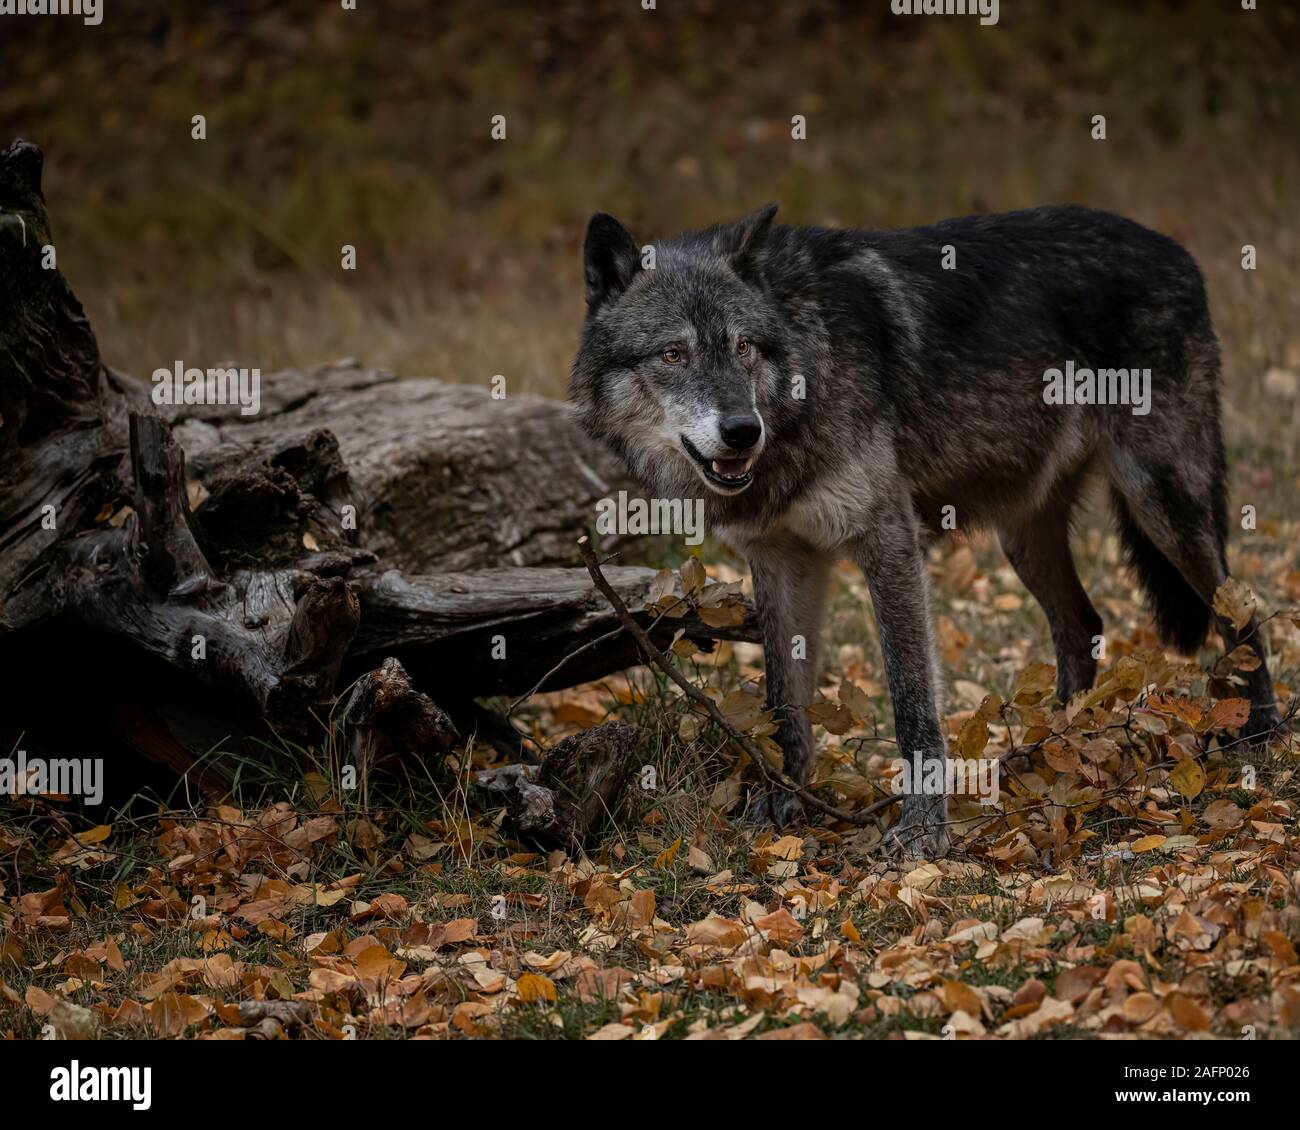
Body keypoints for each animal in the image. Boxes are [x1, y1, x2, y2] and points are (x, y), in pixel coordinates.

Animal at [569, 202, 1282, 859]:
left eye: (743, 346)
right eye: (673, 354)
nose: (744, 431)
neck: (809, 361)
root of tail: (1174, 249)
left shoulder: (889, 541)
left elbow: (912, 698)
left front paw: (922, 832)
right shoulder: (781, 559)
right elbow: (782, 701)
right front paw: (782, 808)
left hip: (1161, 503)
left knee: (1238, 608)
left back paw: (1260, 734)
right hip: (1025, 540)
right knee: (1085, 625)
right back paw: (1055, 750)